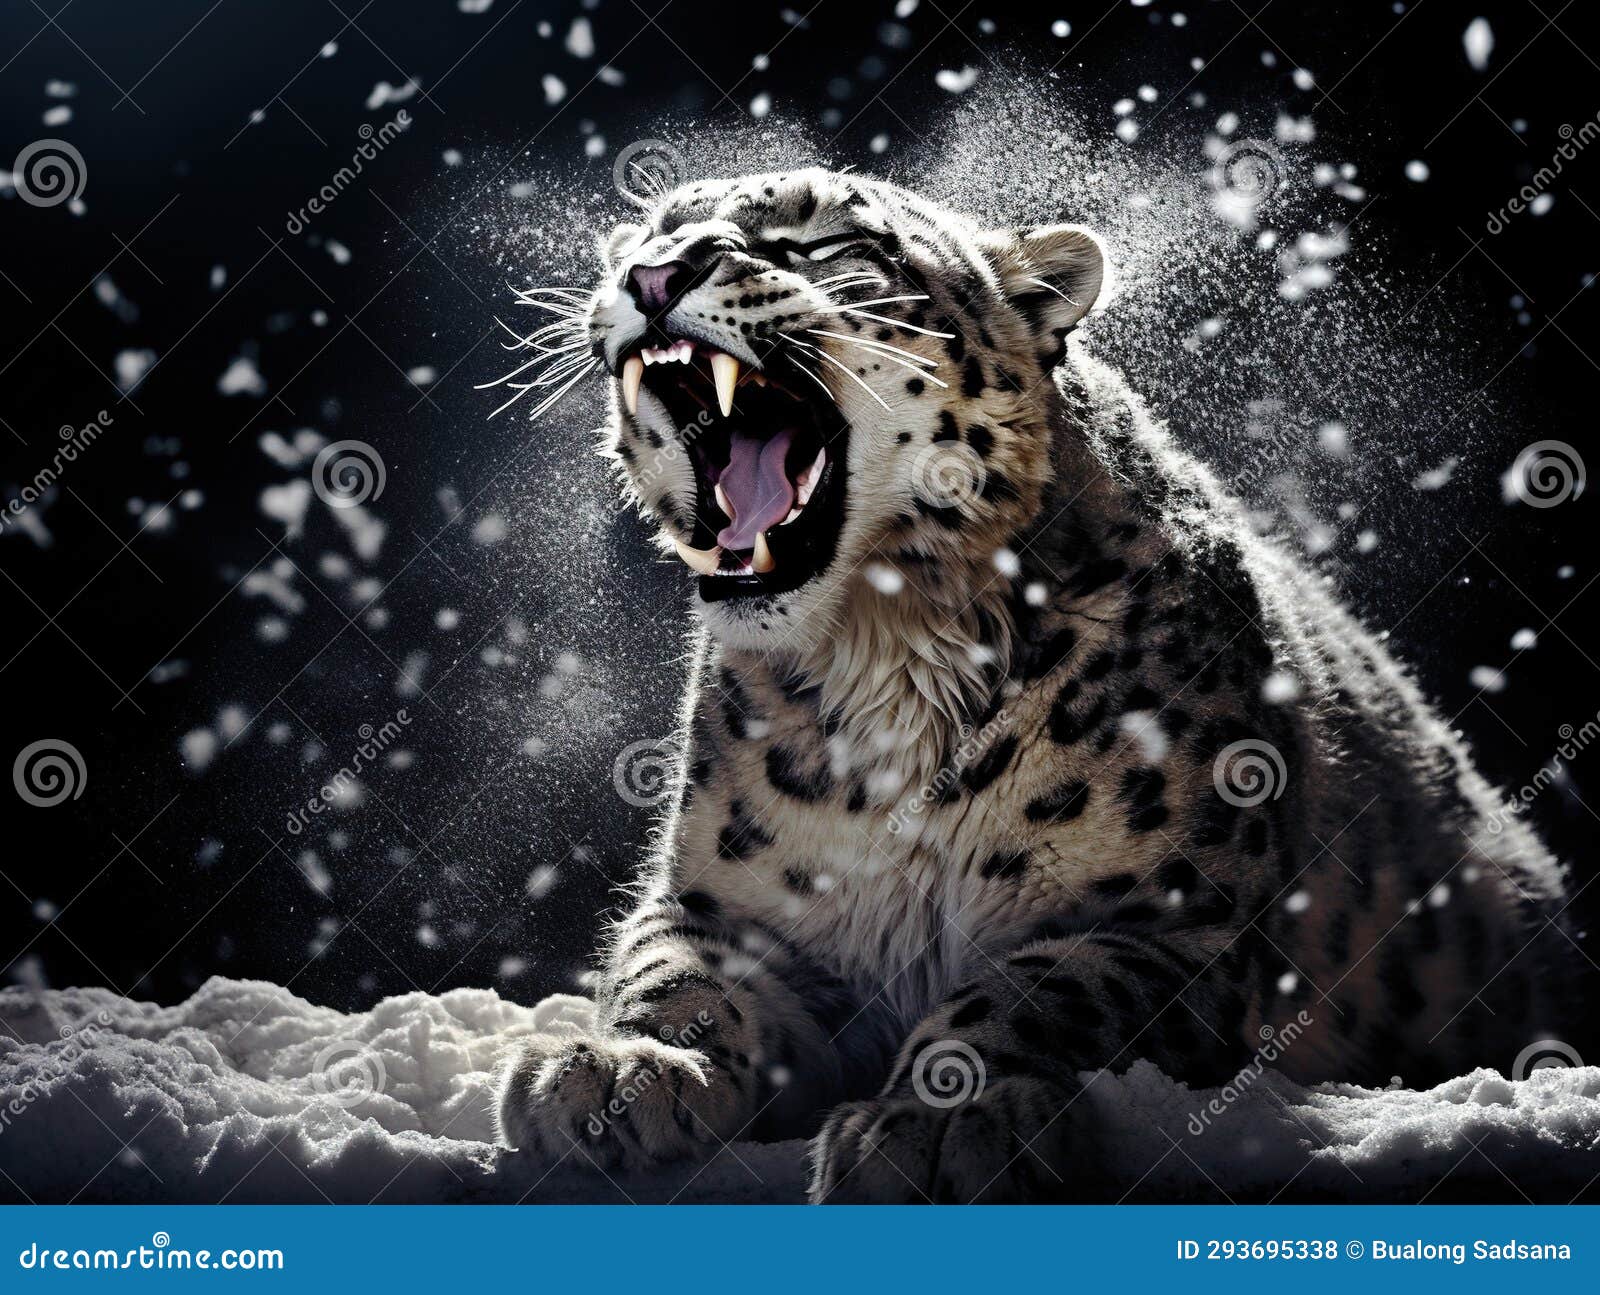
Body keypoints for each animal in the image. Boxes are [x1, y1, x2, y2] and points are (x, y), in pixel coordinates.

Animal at [493, 166, 1580, 1203]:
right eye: (648, 235)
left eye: (828, 238)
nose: (653, 277)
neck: (884, 658)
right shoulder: (726, 903)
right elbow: (675, 975)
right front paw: (619, 1076)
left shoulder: (1174, 918)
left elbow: (1034, 989)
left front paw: (931, 1127)